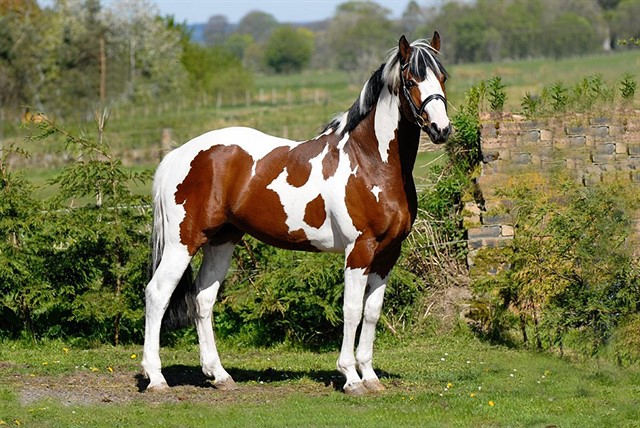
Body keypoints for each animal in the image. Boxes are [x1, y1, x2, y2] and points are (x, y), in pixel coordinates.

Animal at [142, 33, 451, 396]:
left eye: (443, 77)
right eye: (411, 80)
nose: (441, 129)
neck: (370, 163)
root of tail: (177, 154)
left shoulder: (388, 253)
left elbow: (372, 312)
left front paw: (370, 375)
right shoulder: (359, 251)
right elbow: (352, 310)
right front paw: (351, 377)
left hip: (221, 241)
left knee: (203, 298)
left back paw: (219, 375)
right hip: (183, 243)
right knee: (157, 294)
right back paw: (156, 378)